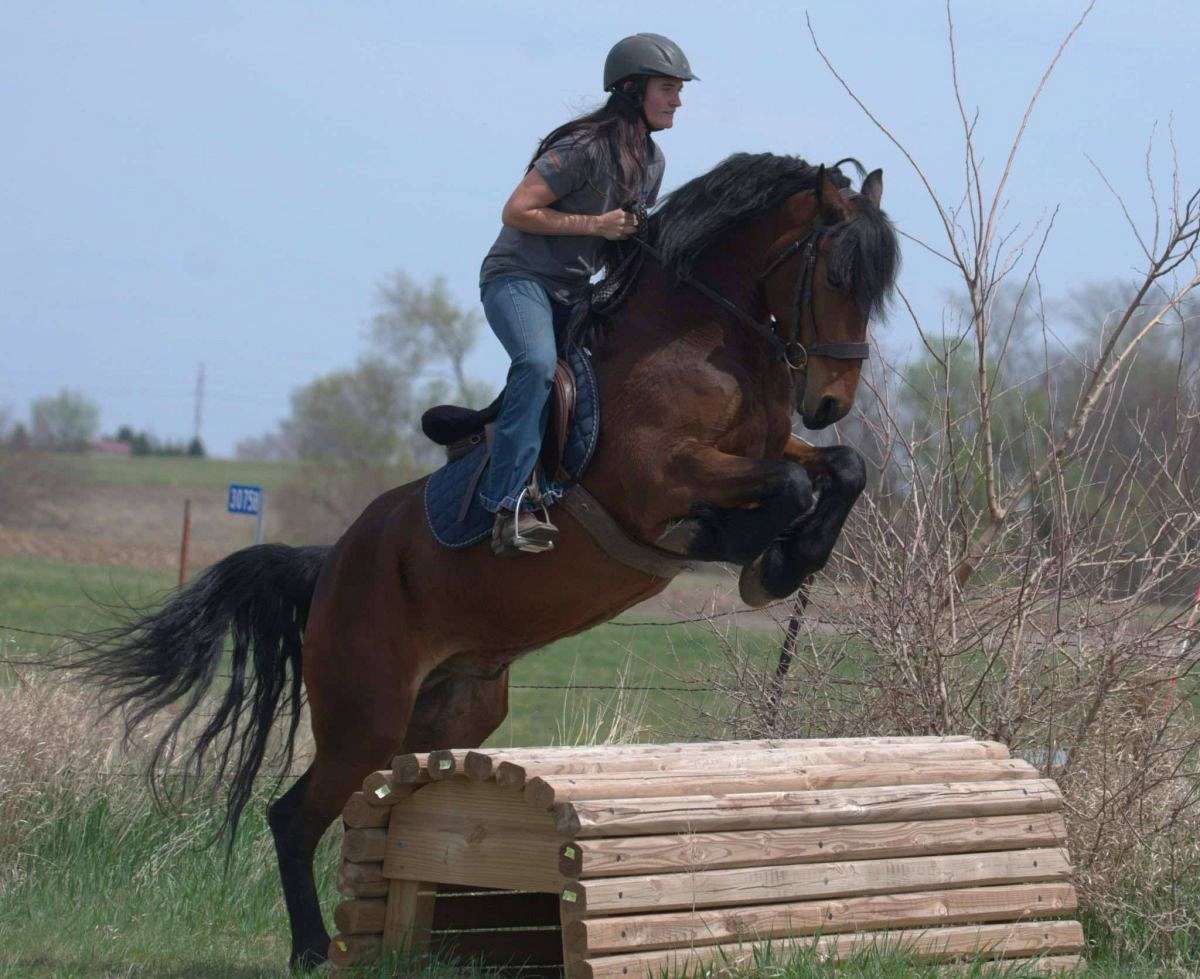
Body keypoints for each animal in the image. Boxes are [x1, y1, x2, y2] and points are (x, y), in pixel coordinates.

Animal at [66, 152, 898, 968]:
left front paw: (789, 558)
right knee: (294, 814)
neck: (698, 338)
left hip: (445, 713)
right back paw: (310, 949)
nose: (828, 401)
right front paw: (762, 559)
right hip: (364, 710)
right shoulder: (661, 477)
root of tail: (330, 564)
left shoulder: (768, 446)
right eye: (836, 277)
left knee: (363, 796)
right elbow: (785, 487)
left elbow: (843, 467)